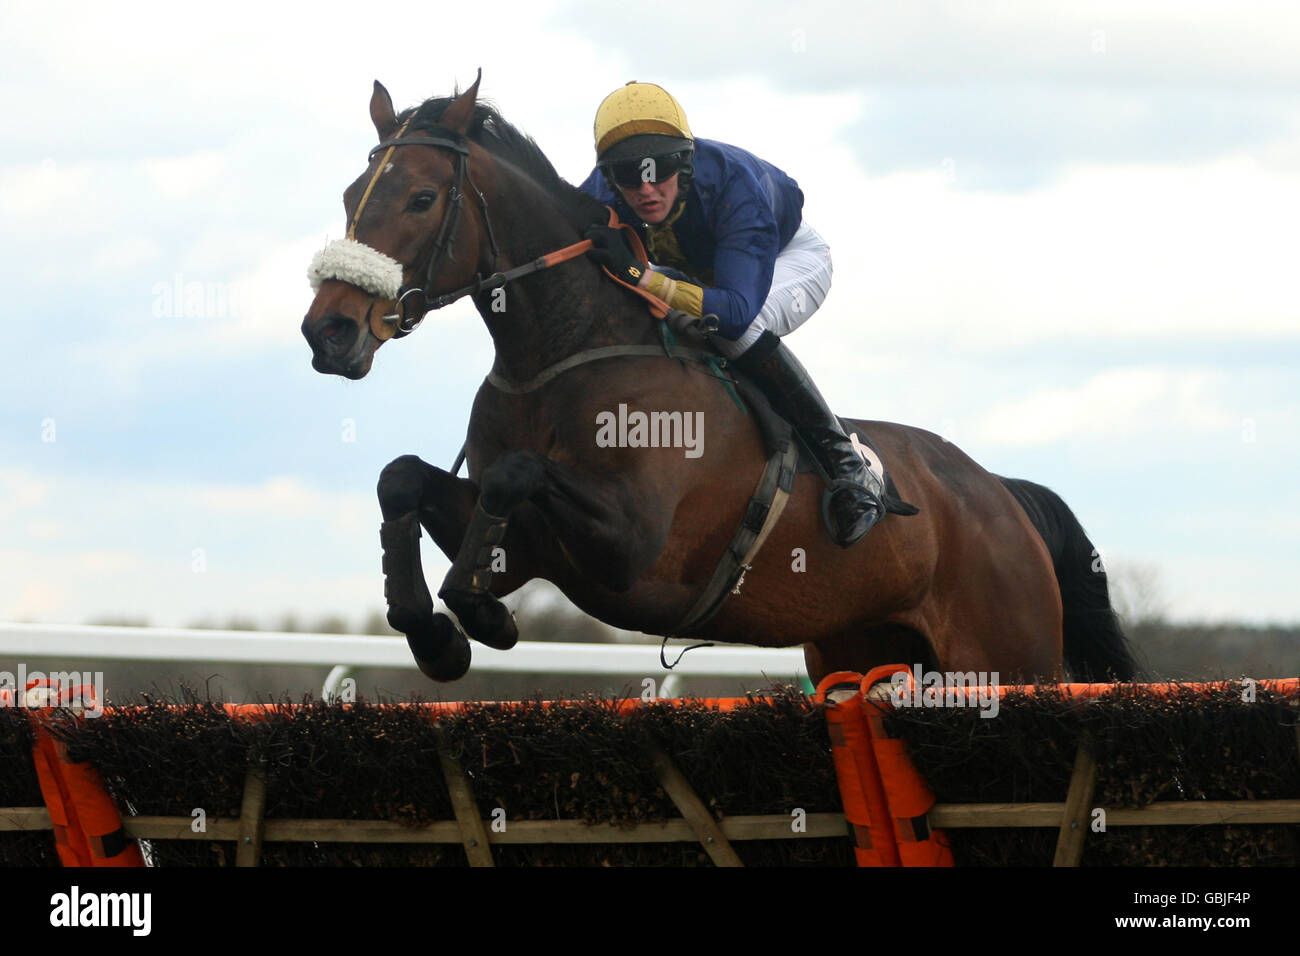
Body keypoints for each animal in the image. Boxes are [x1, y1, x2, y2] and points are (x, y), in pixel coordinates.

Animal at [300, 73, 1136, 689]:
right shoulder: (535, 547)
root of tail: (1000, 492)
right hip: (859, 646)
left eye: (420, 198)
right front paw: (435, 631)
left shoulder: (632, 547)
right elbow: (403, 478)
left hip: (1009, 657)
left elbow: (516, 473)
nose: (329, 331)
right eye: (348, 198)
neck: (562, 356)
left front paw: (476, 615)